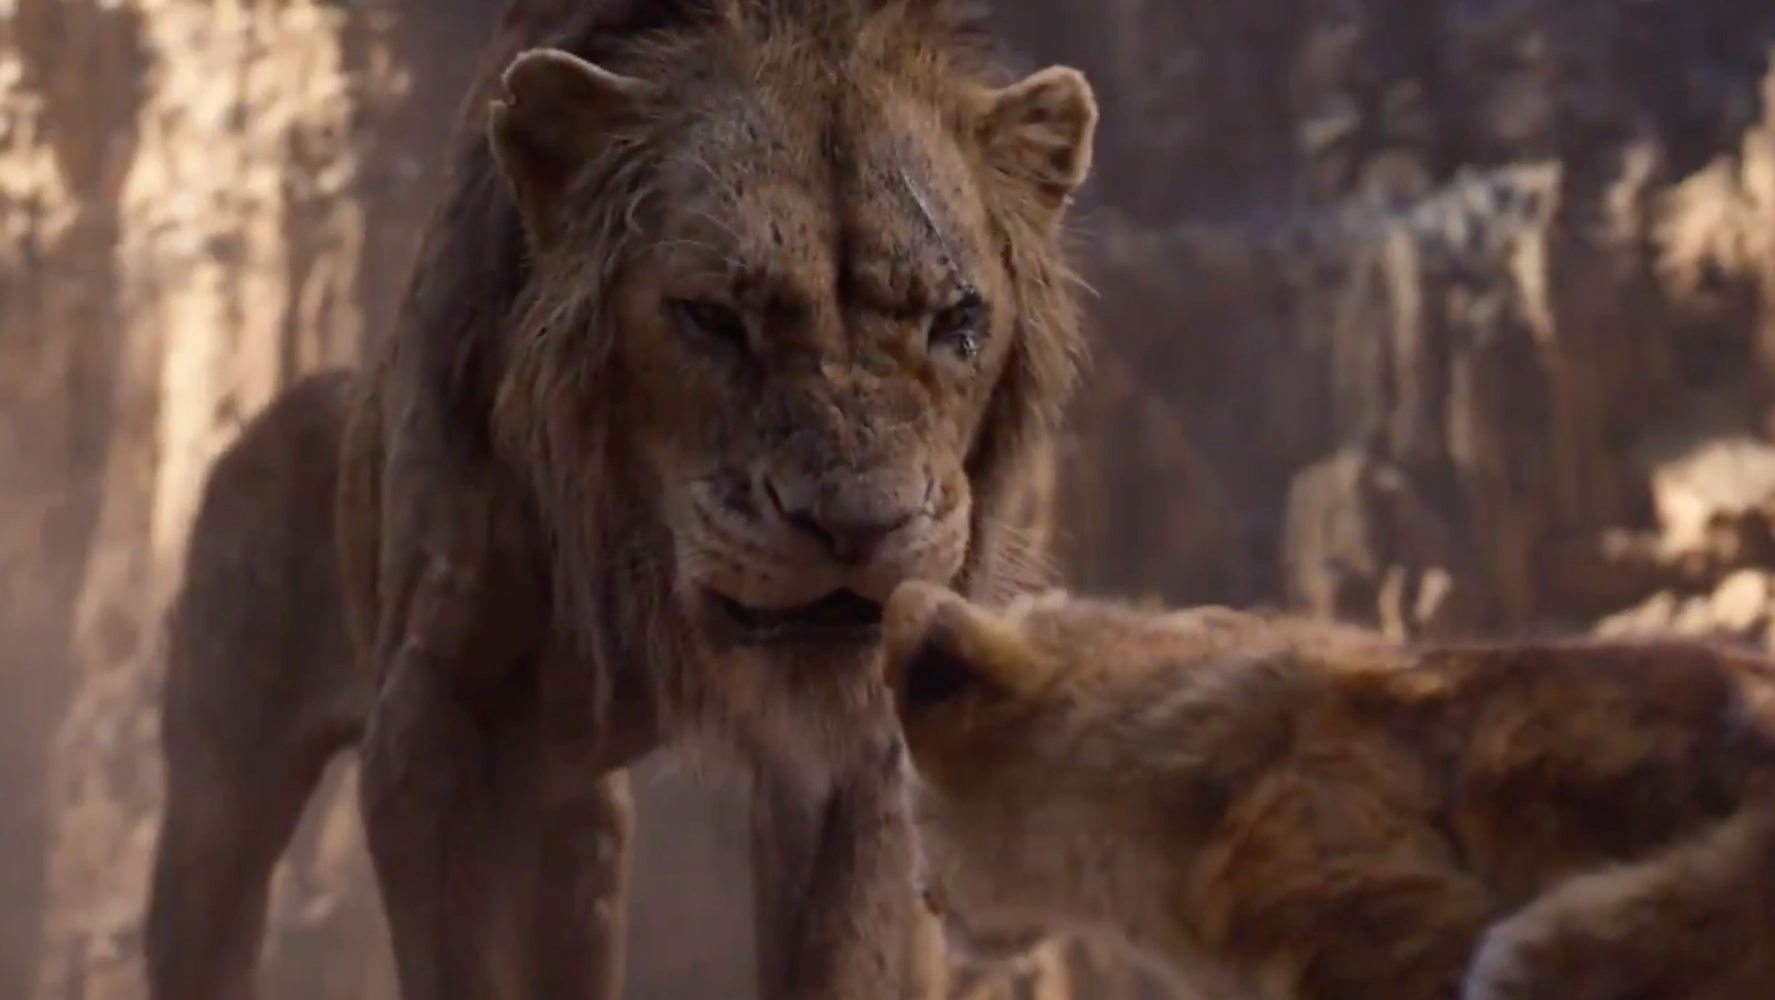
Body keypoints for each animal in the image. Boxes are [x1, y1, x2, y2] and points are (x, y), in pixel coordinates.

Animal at [143, 1, 1096, 999]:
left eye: (957, 321)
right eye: (713, 319)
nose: (857, 527)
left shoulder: (852, 749)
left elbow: (845, 951)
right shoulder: (432, 711)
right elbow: (458, 957)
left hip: (573, 819)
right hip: (219, 802)